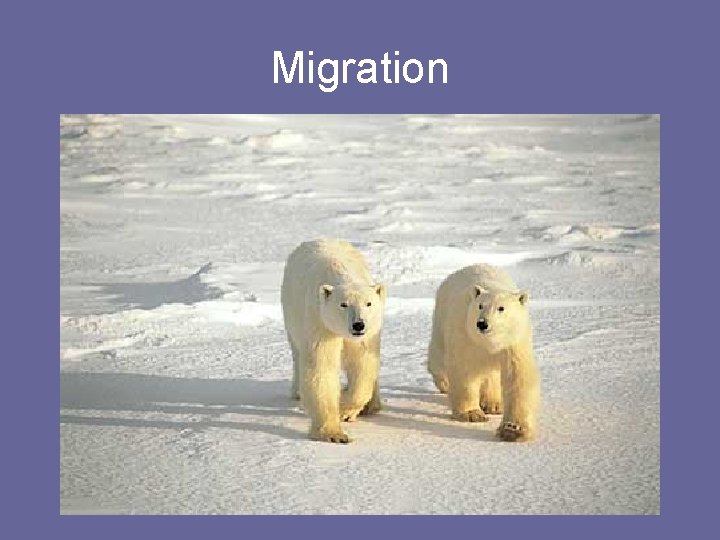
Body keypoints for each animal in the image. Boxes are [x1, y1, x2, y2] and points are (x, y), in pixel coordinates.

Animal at [281, 239, 387, 443]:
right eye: (343, 304)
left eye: (368, 303)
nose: (358, 325)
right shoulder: (320, 321)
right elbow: (322, 367)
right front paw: (334, 434)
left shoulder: (365, 336)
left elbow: (362, 364)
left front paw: (345, 410)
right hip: (291, 315)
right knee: (298, 354)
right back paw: (297, 393)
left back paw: (372, 405)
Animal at [427, 264, 540, 441]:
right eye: (480, 306)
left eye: (501, 308)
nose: (482, 323)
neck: (489, 343)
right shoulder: (464, 332)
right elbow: (464, 369)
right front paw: (472, 414)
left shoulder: (514, 341)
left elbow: (517, 375)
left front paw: (512, 429)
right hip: (441, 320)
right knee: (439, 357)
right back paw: (444, 384)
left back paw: (494, 404)